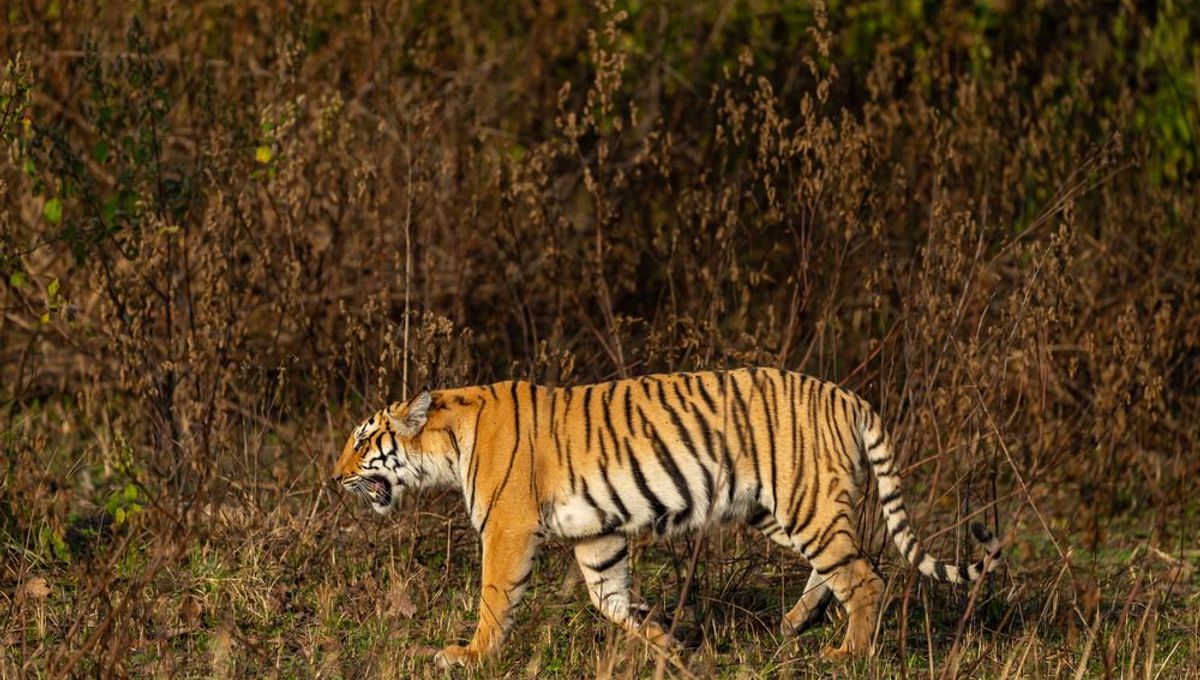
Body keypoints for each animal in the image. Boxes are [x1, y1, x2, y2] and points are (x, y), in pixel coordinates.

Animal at [332, 368, 1002, 667]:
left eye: (363, 441)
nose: (333, 476)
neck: (446, 444)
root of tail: (849, 396)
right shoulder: (597, 533)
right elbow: (610, 601)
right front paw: (670, 644)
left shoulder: (507, 529)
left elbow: (496, 598)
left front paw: (469, 656)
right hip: (781, 509)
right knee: (844, 566)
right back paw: (794, 623)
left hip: (804, 501)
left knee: (866, 578)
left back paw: (847, 656)